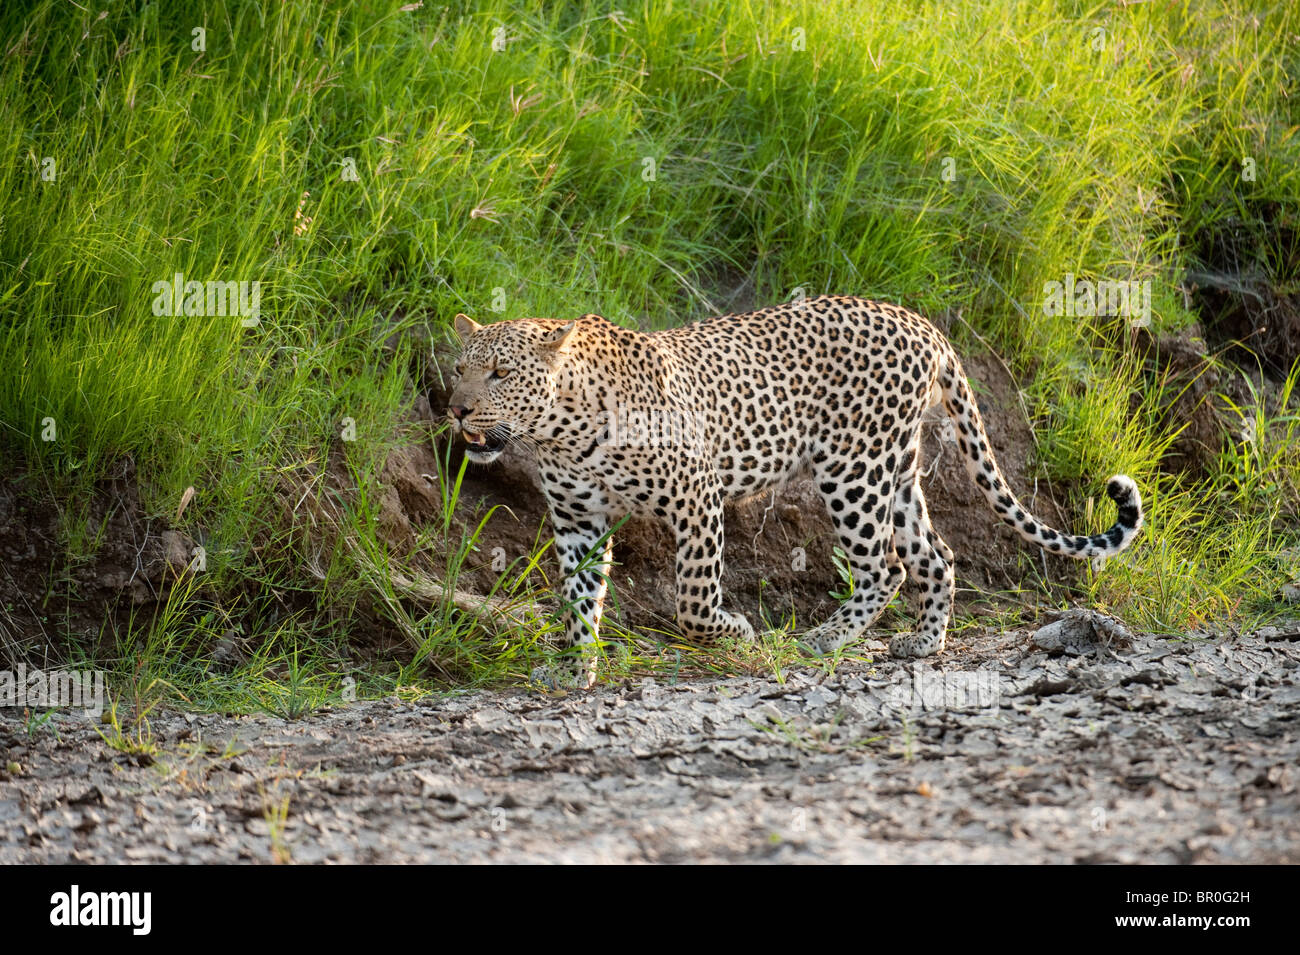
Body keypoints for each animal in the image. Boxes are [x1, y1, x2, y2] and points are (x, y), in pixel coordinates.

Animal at [446, 295, 1143, 689]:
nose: (455, 410)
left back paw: (824, 640)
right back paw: (922, 642)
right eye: (459, 368)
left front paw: (733, 633)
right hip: (896, 472)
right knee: (934, 556)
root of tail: (921, 321)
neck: (560, 428)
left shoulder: (696, 495)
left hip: (854, 470)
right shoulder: (577, 524)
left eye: (500, 373)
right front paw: (573, 670)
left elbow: (692, 600)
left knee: (885, 566)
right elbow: (577, 602)